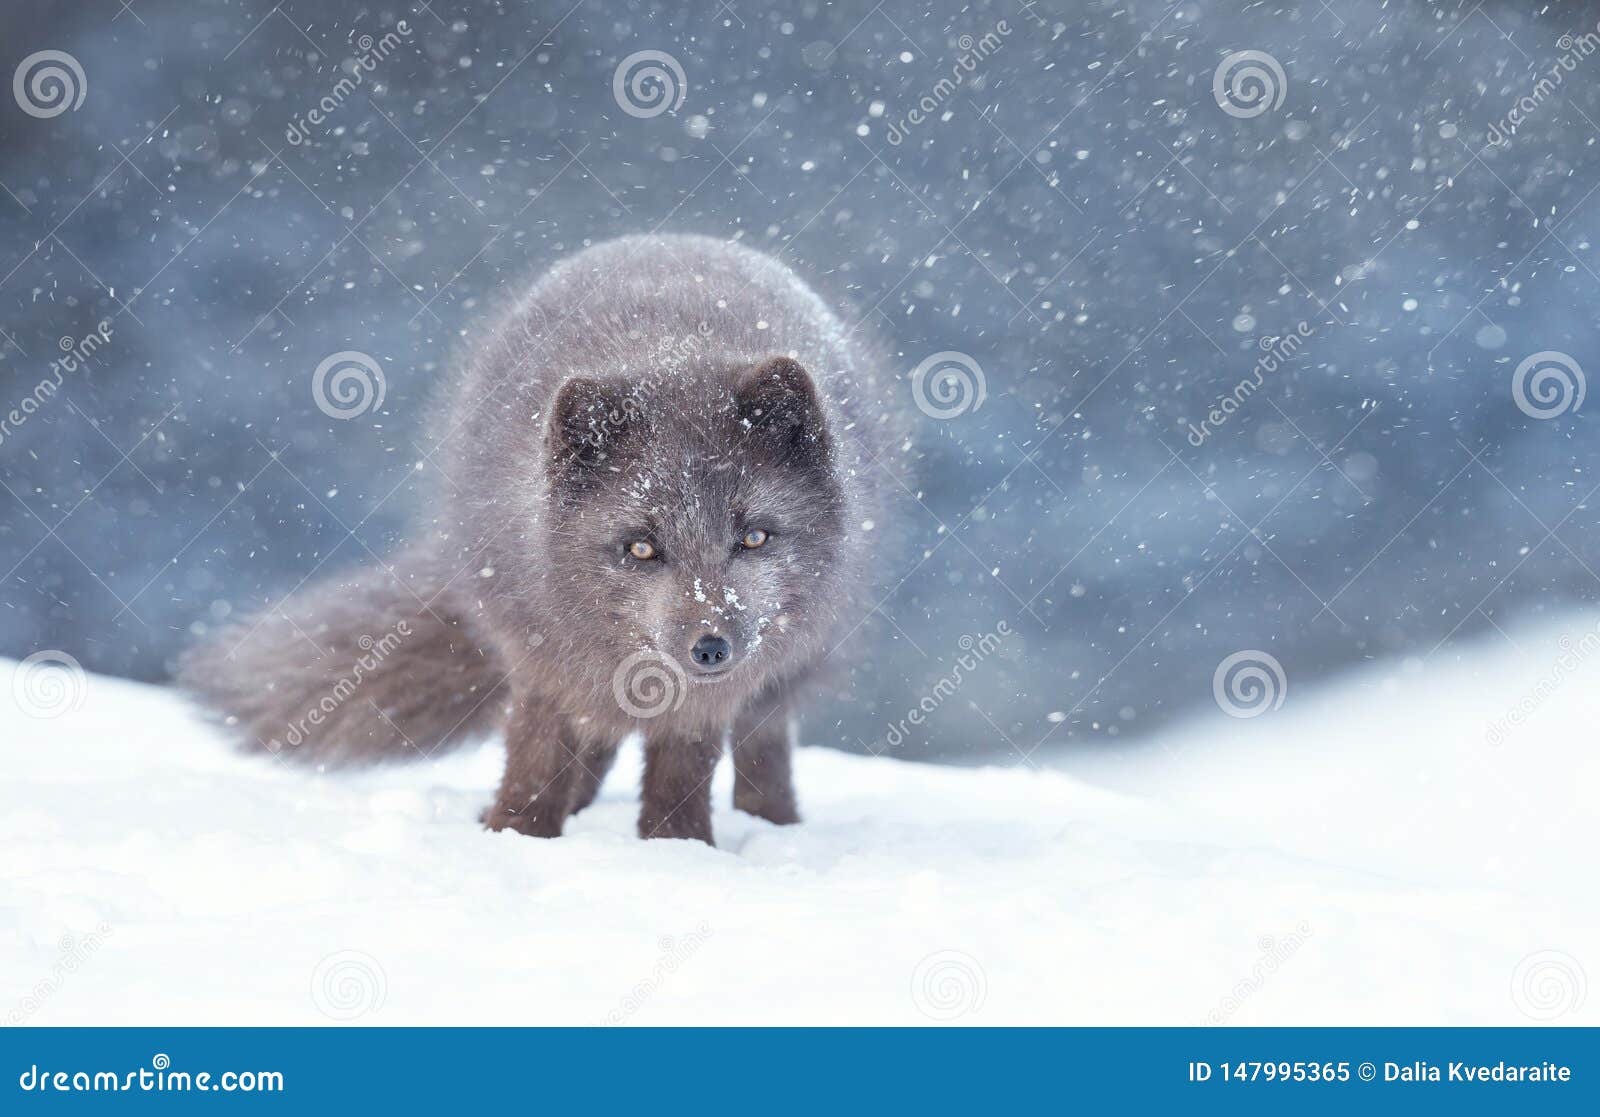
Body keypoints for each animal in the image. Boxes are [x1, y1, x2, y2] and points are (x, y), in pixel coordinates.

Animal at [181, 234, 908, 845]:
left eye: (754, 536)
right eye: (641, 547)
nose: (709, 646)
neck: (668, 349)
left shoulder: (707, 702)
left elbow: (682, 769)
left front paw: (675, 849)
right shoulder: (538, 655)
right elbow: (535, 750)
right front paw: (517, 835)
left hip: (792, 665)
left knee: (762, 741)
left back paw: (772, 826)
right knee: (591, 737)